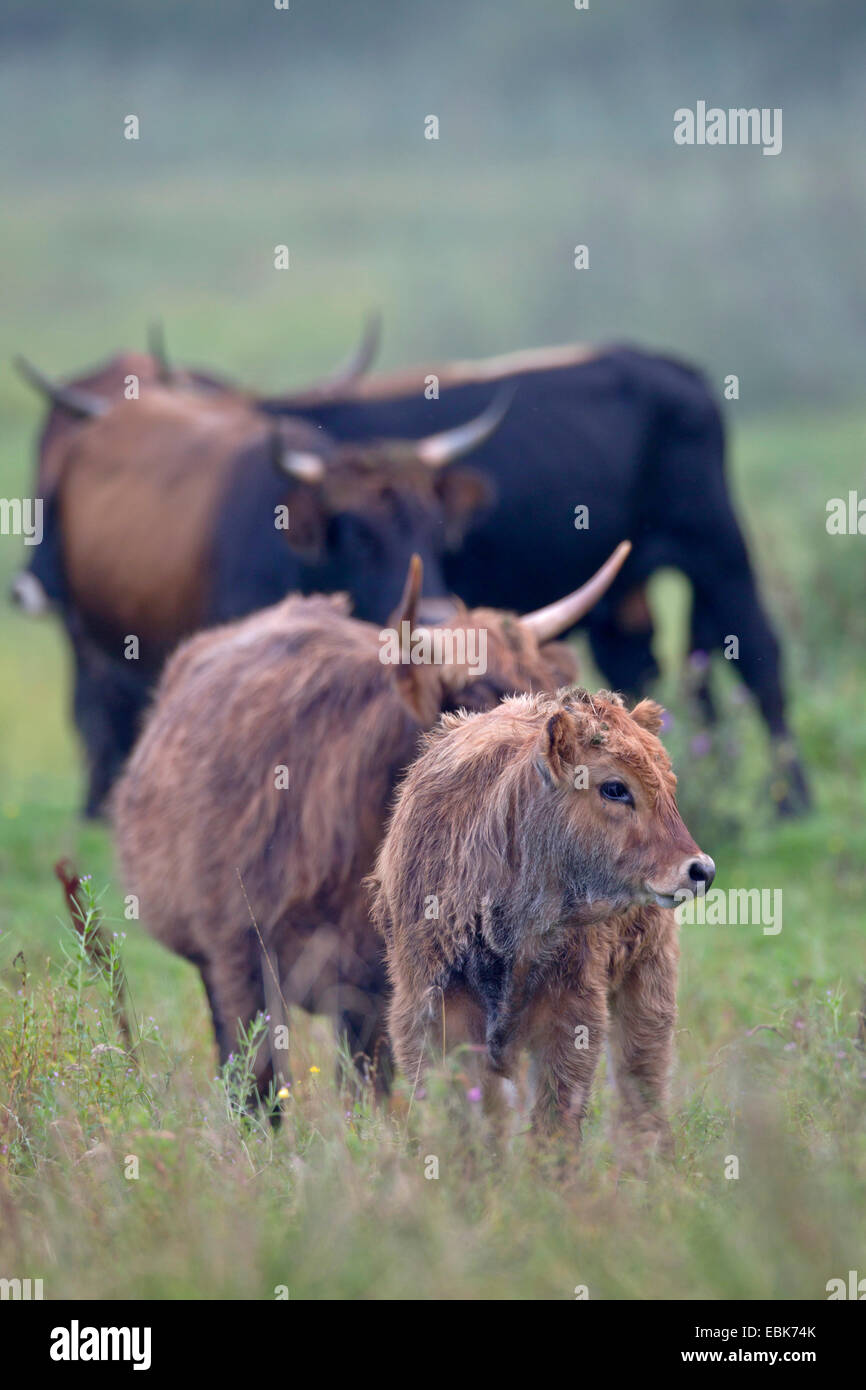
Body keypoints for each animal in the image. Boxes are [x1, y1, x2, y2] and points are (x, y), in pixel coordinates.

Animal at [259, 342, 810, 814]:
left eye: (436, 527)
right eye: (354, 532)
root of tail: (672, 367)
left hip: (718, 548)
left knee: (758, 656)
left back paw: (793, 803)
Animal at [369, 685, 714, 1159]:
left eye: (669, 786)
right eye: (614, 788)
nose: (701, 869)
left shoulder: (569, 1016)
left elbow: (555, 1119)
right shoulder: (430, 1017)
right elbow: (466, 1117)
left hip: (647, 977)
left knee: (641, 1076)